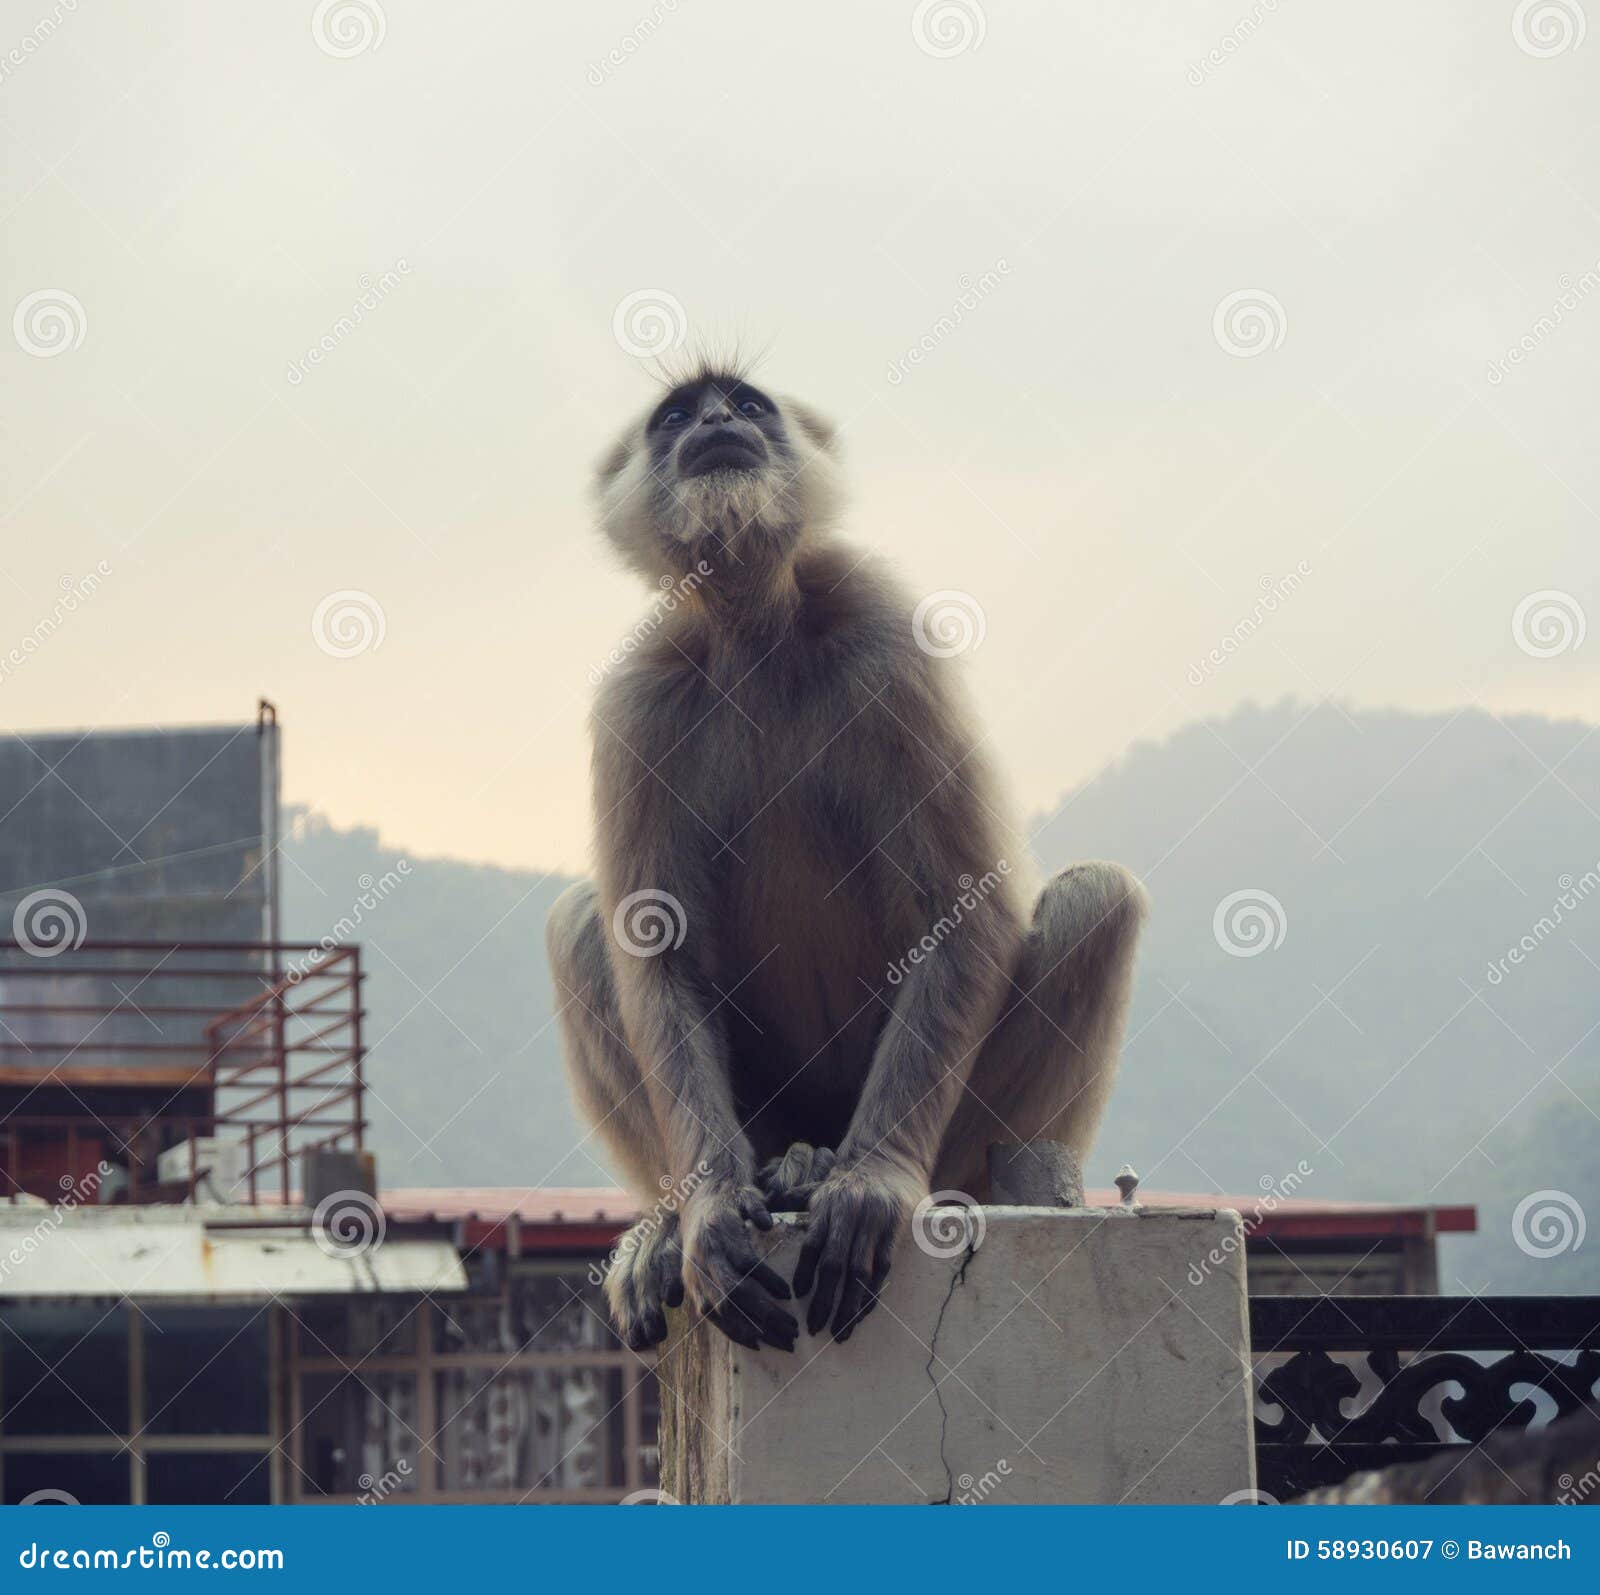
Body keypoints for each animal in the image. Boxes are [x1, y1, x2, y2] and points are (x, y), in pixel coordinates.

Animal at [546, 358, 1148, 1354]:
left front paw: (872, 1181)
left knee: (1101, 896)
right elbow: (659, 950)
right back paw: (697, 1213)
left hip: (963, 1134)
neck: (754, 632)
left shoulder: (886, 631)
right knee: (577, 927)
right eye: (675, 418)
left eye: (747, 405)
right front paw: (703, 1215)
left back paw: (838, 1169)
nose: (714, 421)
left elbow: (964, 911)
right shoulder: (640, 695)